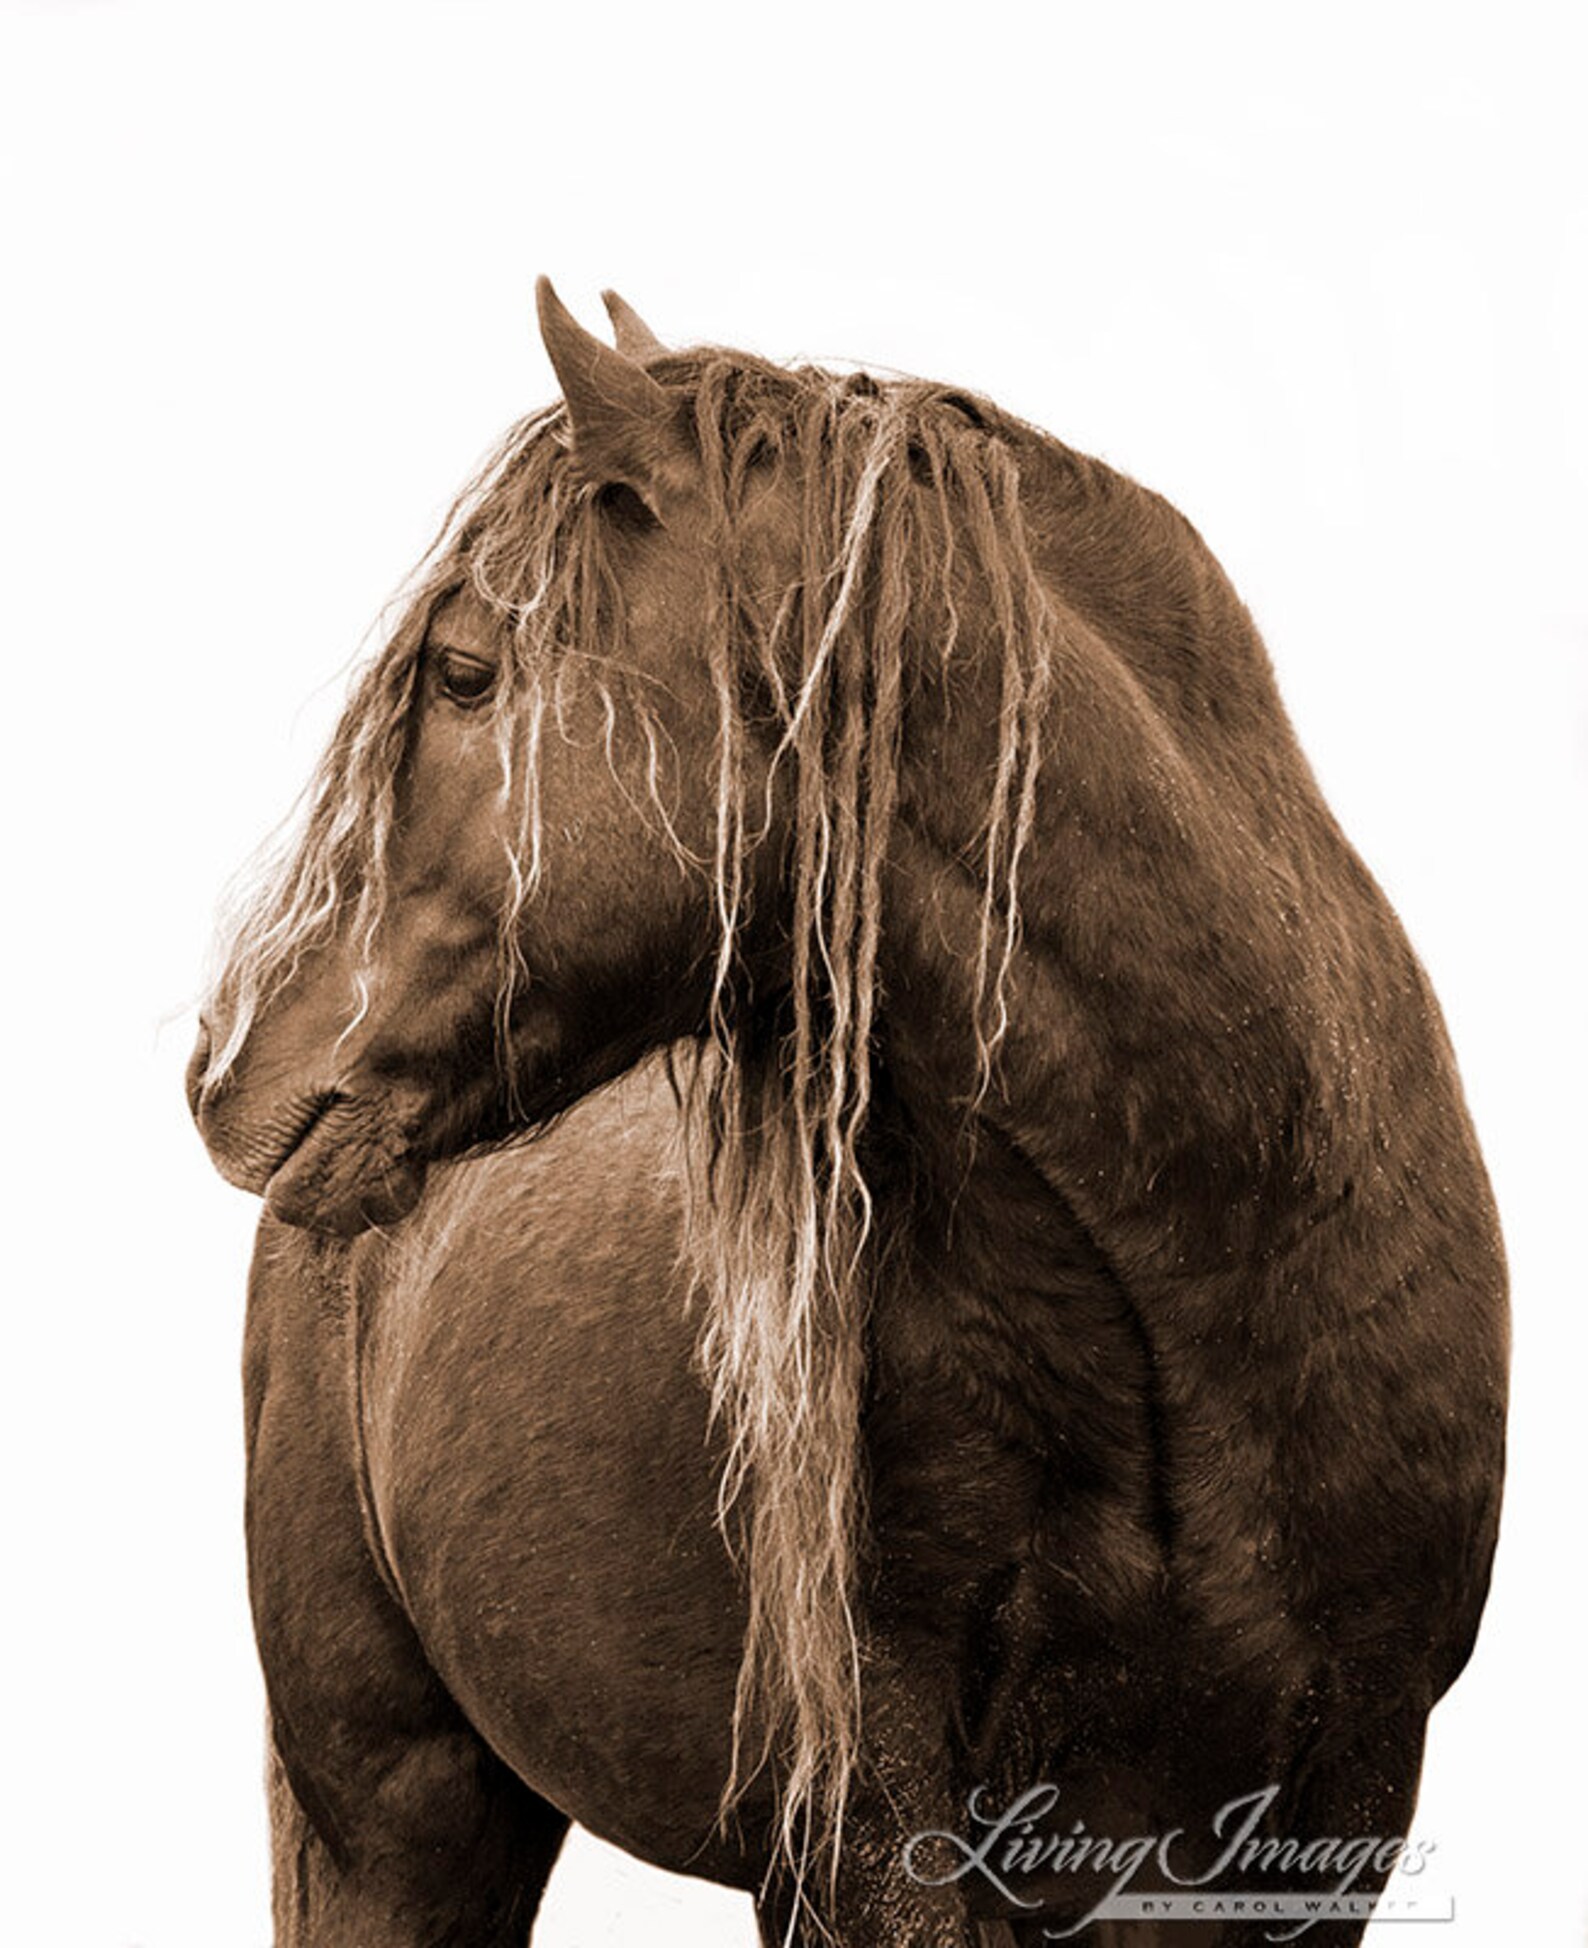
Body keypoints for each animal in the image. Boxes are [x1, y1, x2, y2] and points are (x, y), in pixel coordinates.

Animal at [187, 279, 1508, 1946]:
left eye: (467, 671)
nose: (226, 1066)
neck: (1210, 1267)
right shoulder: (883, 1810)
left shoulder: (1326, 1804)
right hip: (390, 1806)